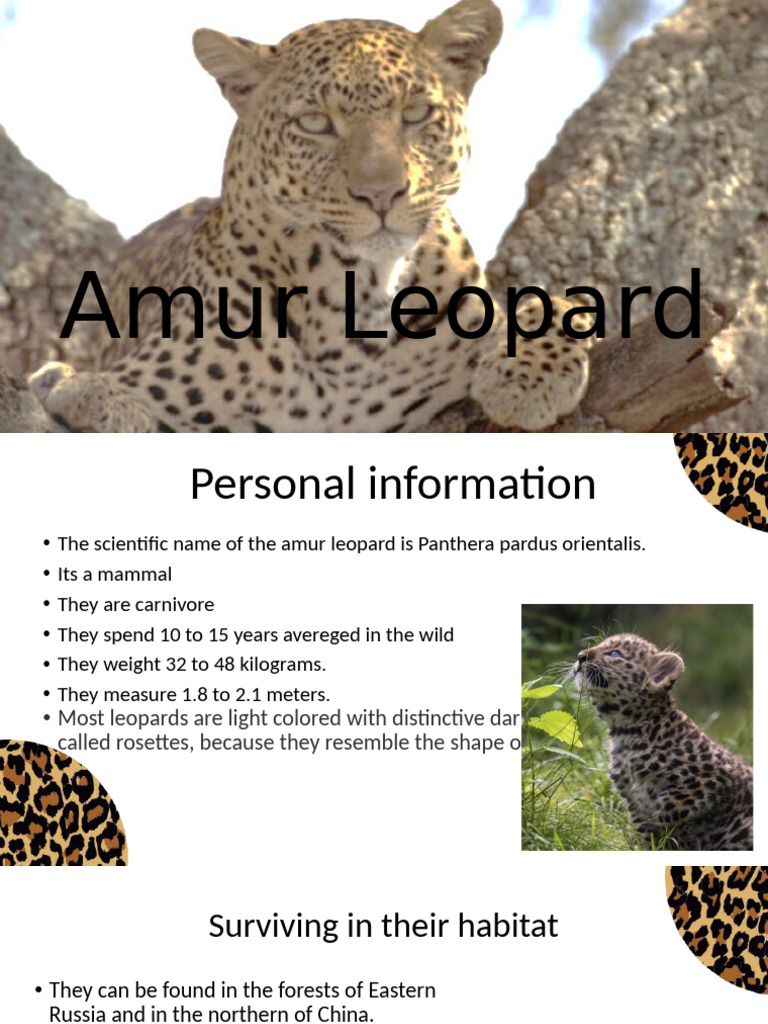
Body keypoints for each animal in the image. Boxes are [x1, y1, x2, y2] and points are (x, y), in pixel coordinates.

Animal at [28, 0, 592, 433]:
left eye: (414, 114)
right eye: (316, 123)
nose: (381, 193)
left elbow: (555, 302)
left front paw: (528, 380)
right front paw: (81, 389)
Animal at [572, 633, 753, 851]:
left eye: (614, 654)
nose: (580, 656)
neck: (625, 733)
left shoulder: (716, 777)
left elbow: (668, 805)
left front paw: (682, 841)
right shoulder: (634, 802)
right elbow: (642, 835)